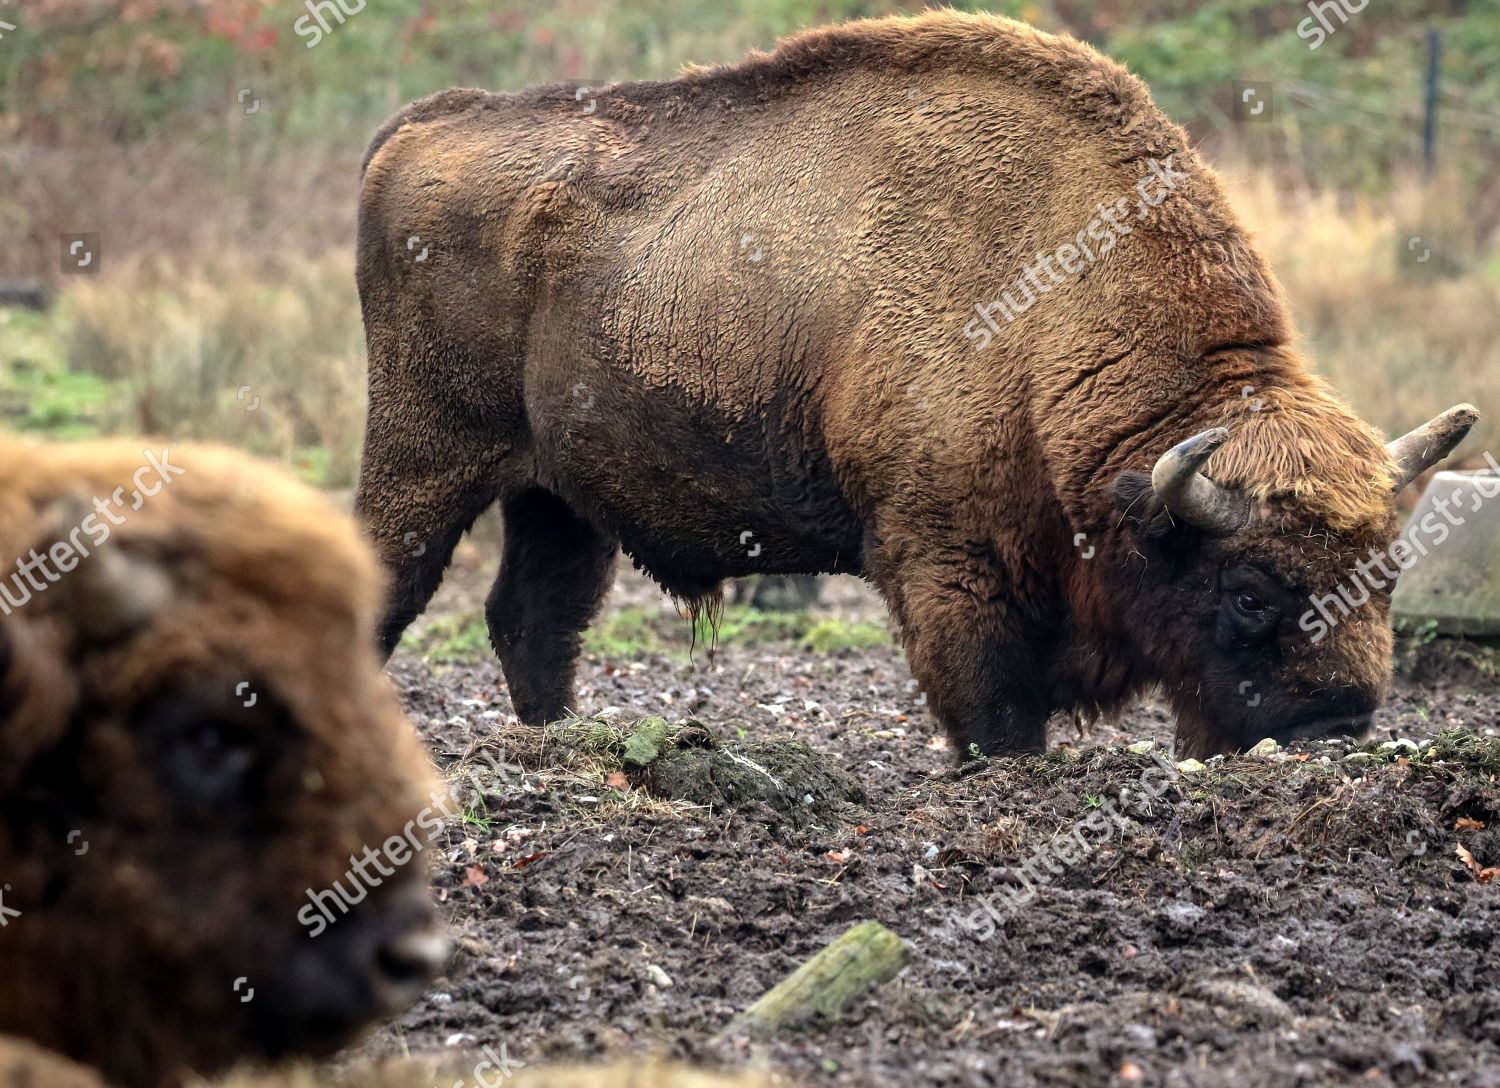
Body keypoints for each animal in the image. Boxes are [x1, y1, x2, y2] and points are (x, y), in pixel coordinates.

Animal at [354, 11, 1477, 757]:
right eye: (1248, 592)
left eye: (1390, 575)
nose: (1337, 724)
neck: (1052, 304)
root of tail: (424, 124)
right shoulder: (947, 564)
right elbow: (993, 714)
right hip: (425, 455)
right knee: (389, 580)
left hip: (559, 493)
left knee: (534, 618)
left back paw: (559, 749)